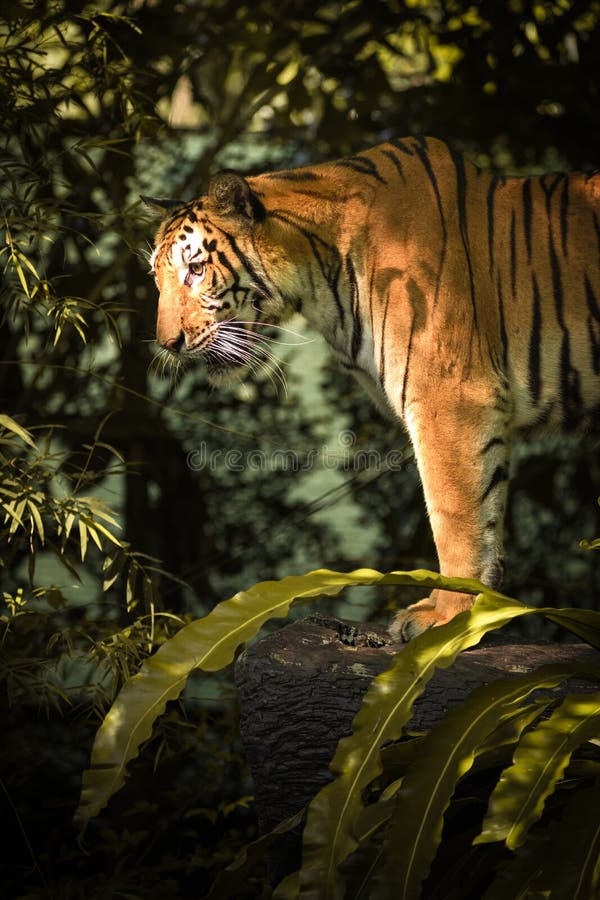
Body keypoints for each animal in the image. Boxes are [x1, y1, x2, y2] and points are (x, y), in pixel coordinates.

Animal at [143, 135, 600, 641]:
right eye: (156, 277)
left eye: (196, 269)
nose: (167, 343)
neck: (322, 279)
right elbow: (484, 515)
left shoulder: (452, 399)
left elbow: (456, 518)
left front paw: (449, 619)